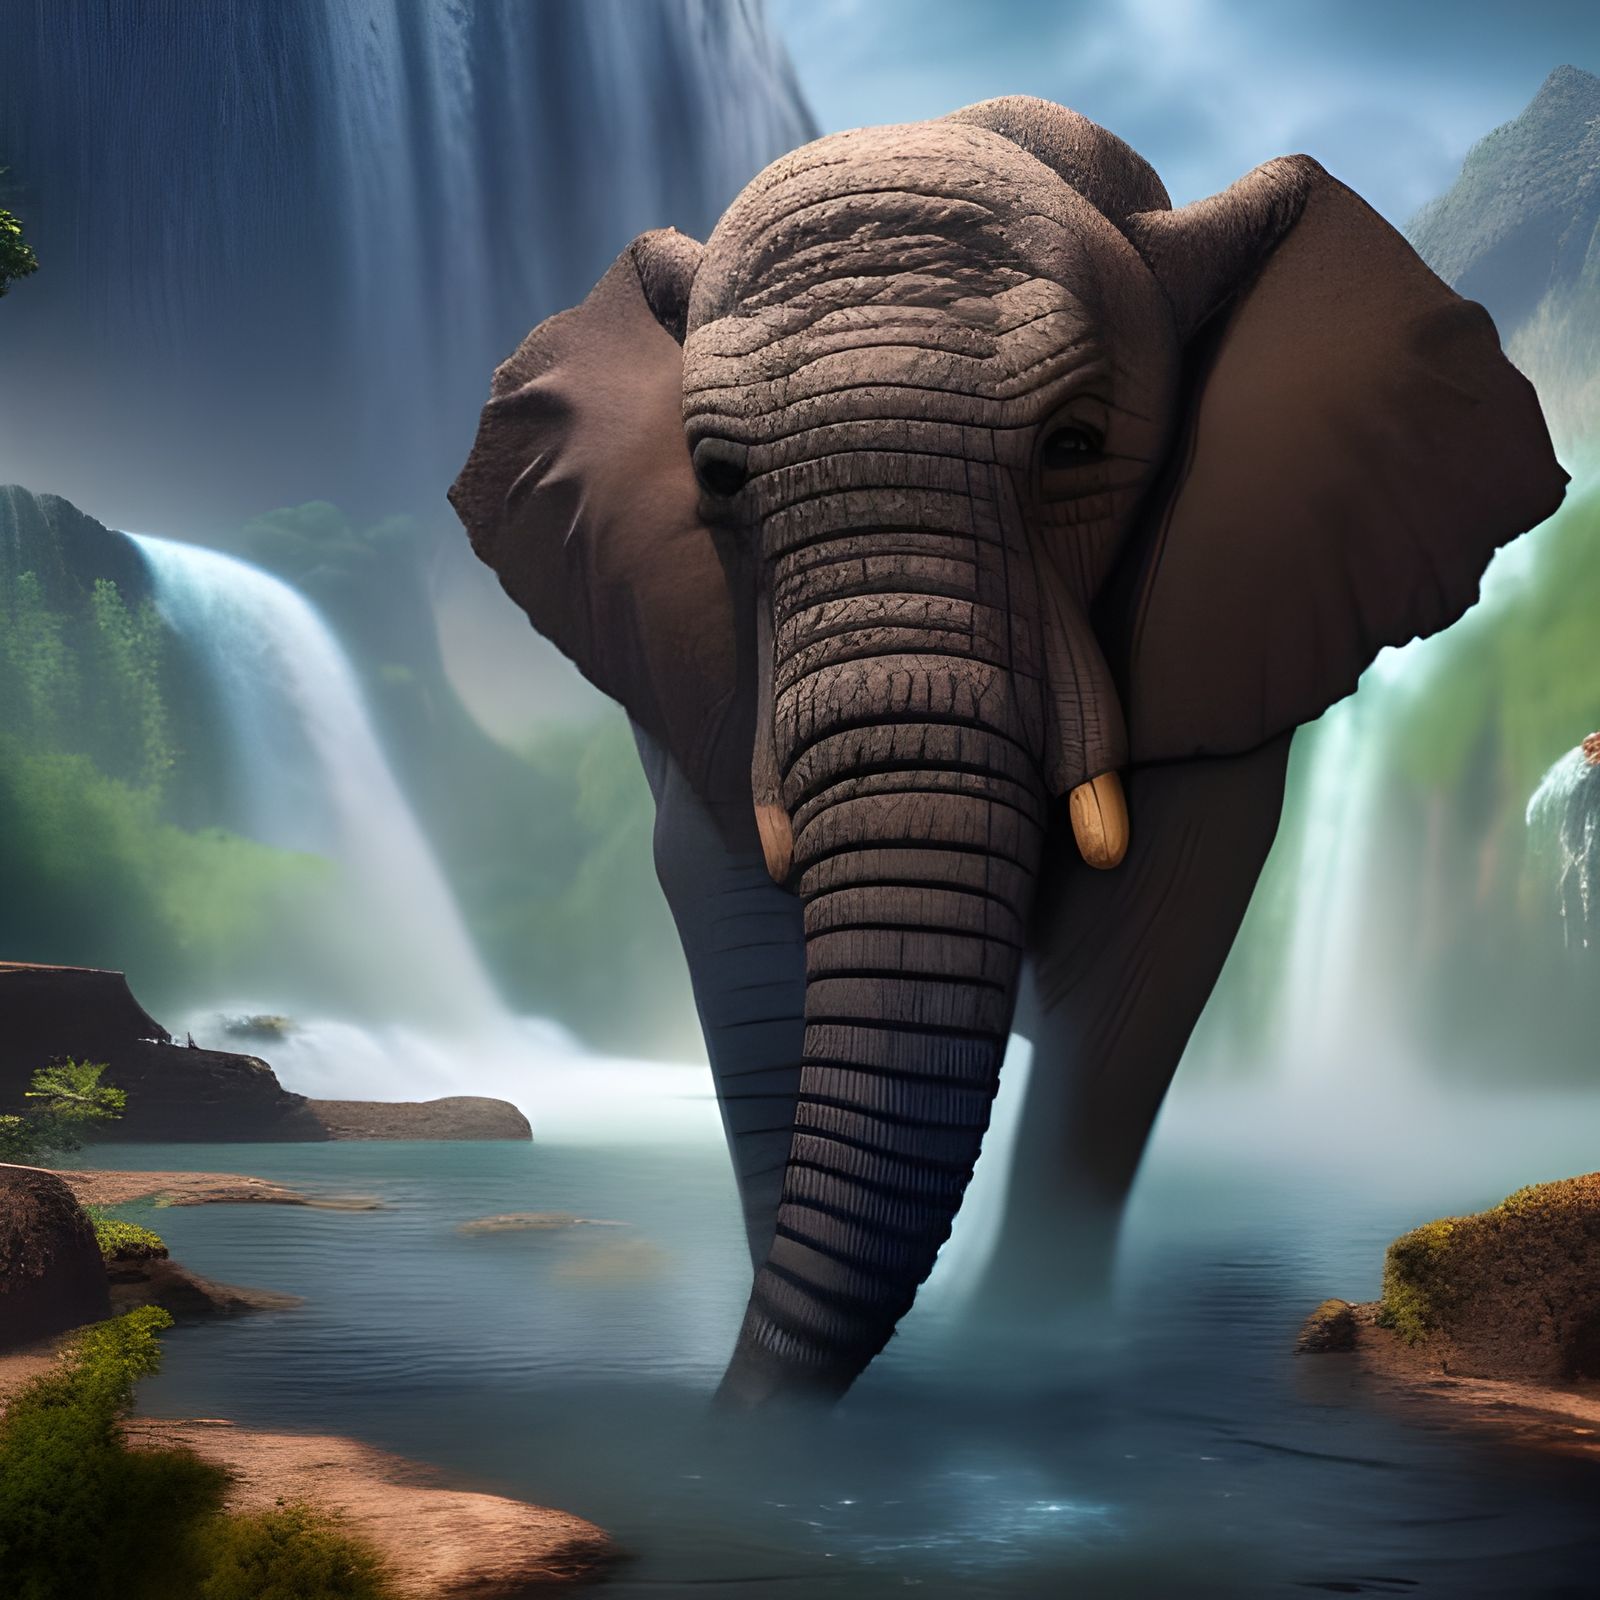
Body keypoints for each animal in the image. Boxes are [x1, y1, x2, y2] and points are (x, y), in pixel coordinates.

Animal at [450, 97, 1565, 1407]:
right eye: (715, 477)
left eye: (1074, 446)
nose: (733, 1422)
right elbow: (736, 935)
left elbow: (1149, 949)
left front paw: (1033, 1348)